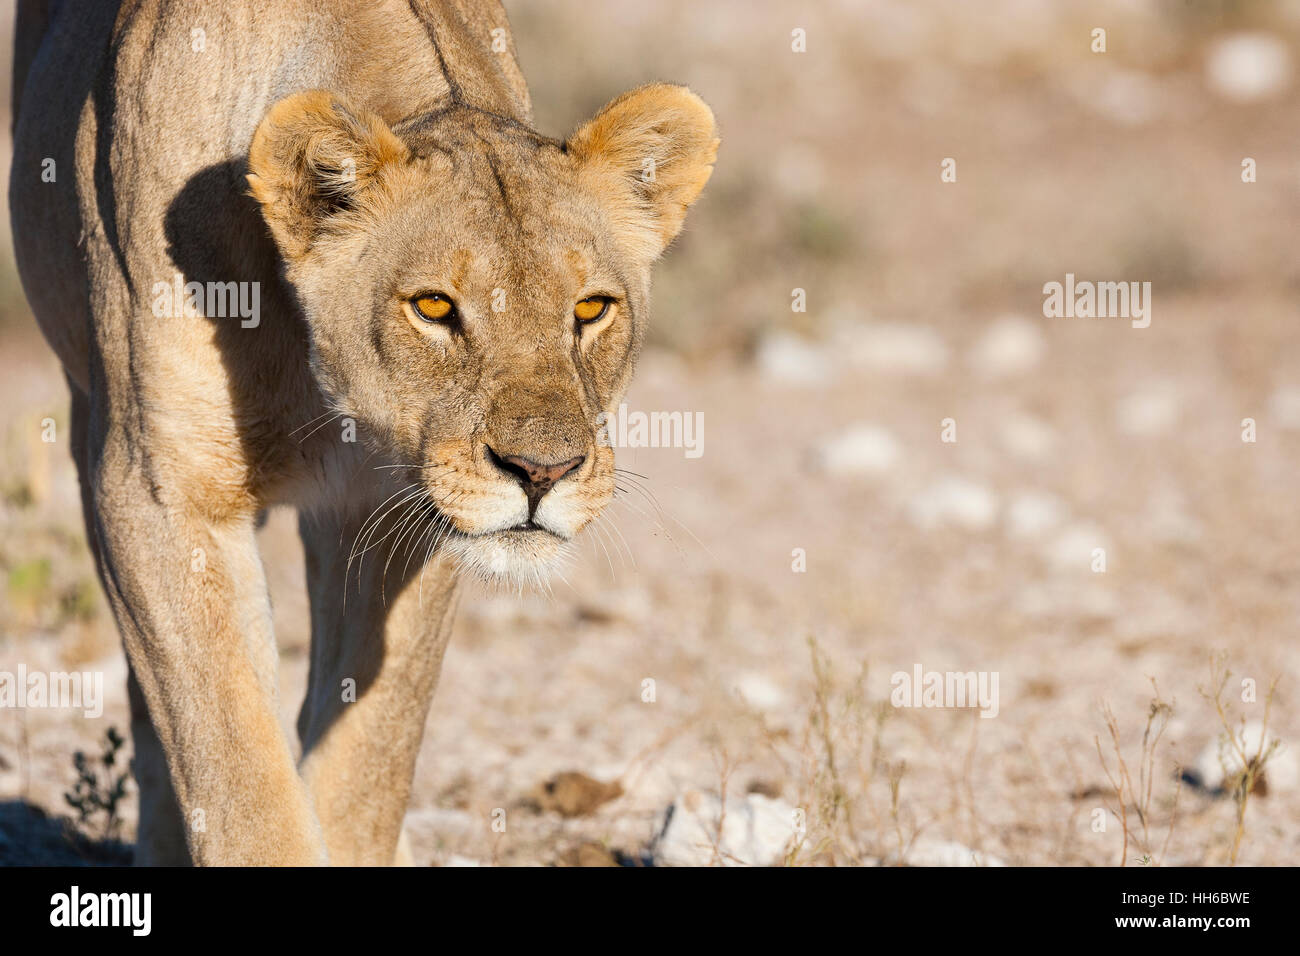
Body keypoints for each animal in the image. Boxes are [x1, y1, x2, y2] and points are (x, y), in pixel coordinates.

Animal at [8, 0, 717, 865]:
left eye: (590, 309)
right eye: (434, 307)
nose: (542, 472)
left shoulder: (396, 515)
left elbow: (369, 760)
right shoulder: (161, 490)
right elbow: (237, 770)